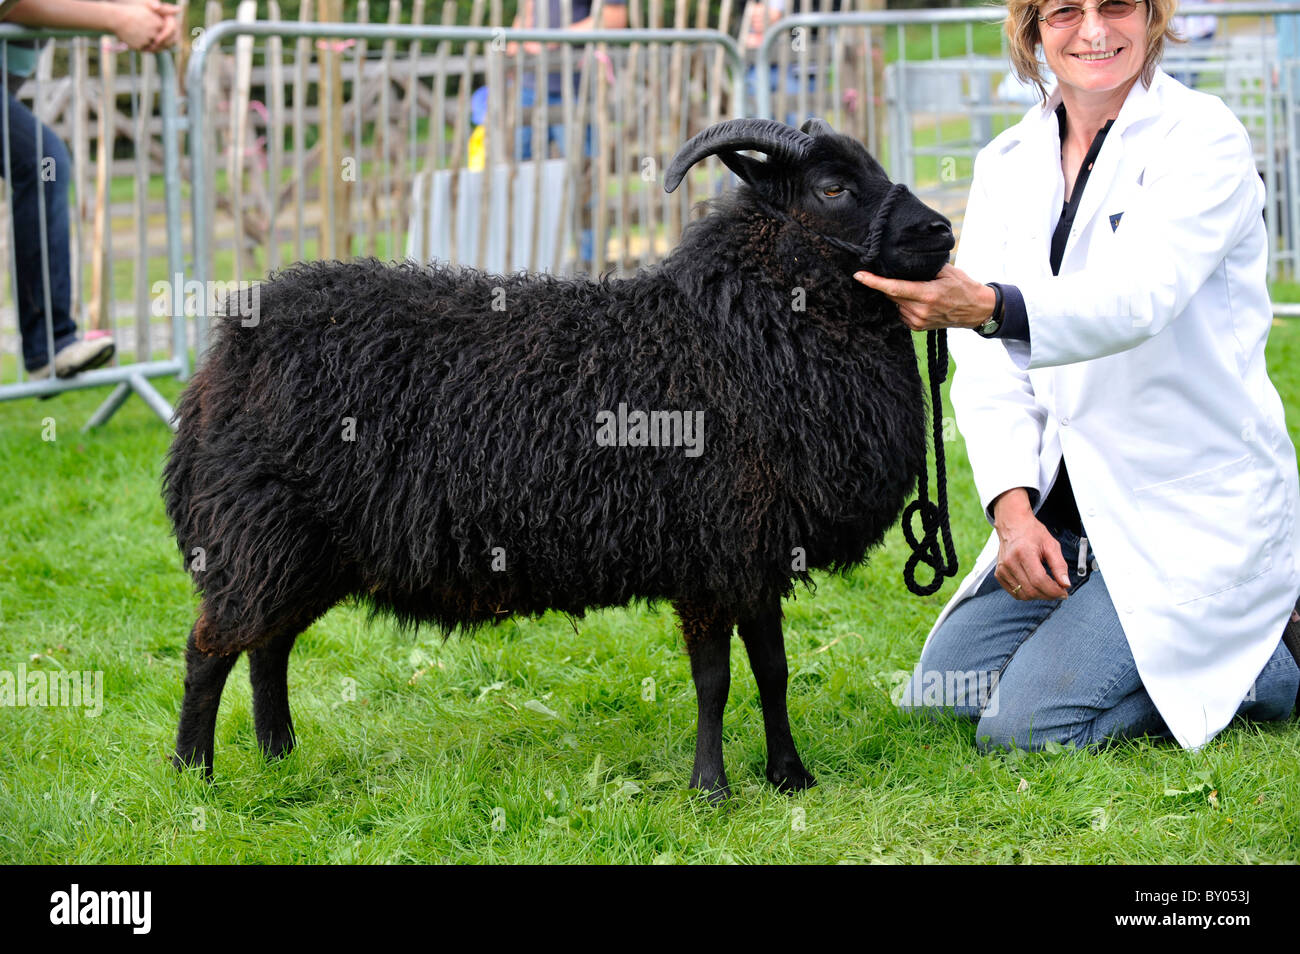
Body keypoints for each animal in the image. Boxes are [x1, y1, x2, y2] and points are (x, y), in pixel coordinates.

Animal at [164, 117, 955, 800]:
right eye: (832, 188)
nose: (942, 231)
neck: (730, 334)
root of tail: (227, 353)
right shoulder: (708, 549)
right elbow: (716, 679)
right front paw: (711, 788)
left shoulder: (757, 549)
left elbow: (774, 669)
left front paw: (790, 777)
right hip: (260, 529)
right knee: (211, 647)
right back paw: (193, 775)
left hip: (302, 549)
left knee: (267, 647)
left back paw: (279, 756)